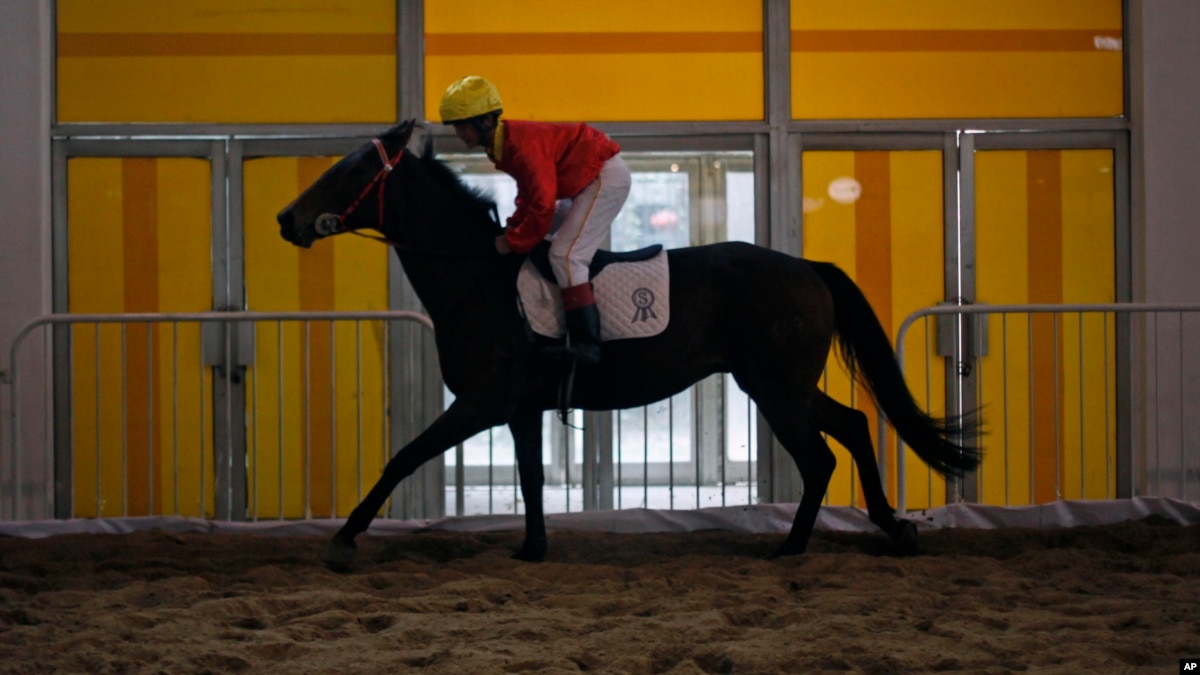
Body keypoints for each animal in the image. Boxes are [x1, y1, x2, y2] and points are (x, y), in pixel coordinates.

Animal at [276, 120, 981, 569]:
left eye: (355, 167)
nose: (286, 218)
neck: (479, 279)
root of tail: (809, 267)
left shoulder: (480, 404)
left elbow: (402, 458)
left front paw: (344, 539)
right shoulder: (521, 410)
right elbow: (530, 477)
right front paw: (532, 548)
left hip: (776, 390)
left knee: (821, 458)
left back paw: (792, 547)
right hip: (785, 385)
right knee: (856, 426)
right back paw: (891, 528)